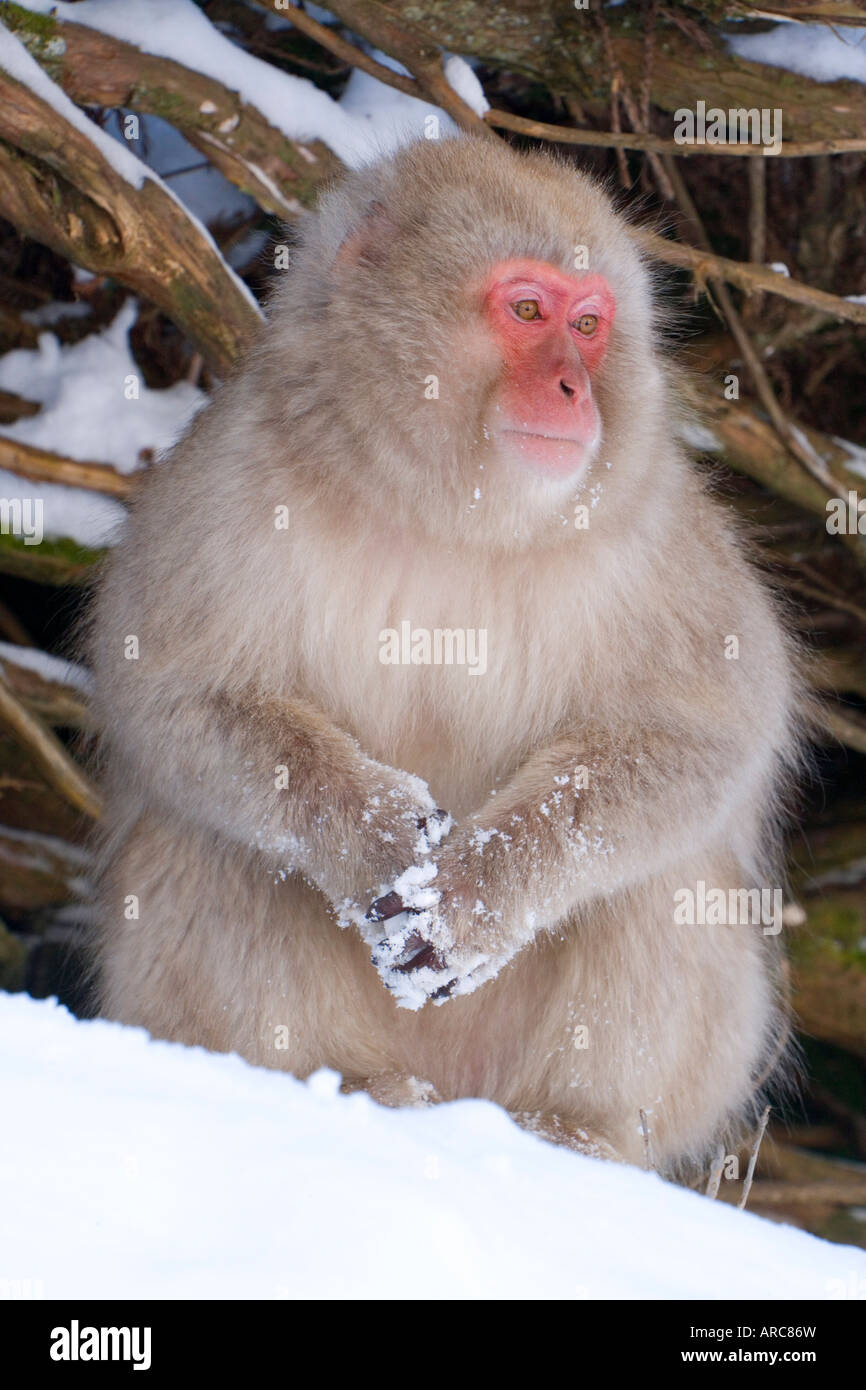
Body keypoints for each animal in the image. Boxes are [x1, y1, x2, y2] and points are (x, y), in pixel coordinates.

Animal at [88, 136, 801, 1174]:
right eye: (529, 311)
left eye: (590, 325)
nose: (576, 390)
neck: (450, 511)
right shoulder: (233, 476)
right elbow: (173, 689)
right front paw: (374, 833)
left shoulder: (654, 520)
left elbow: (703, 735)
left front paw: (474, 891)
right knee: (216, 837)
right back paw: (342, 1083)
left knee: (668, 874)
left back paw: (574, 1131)